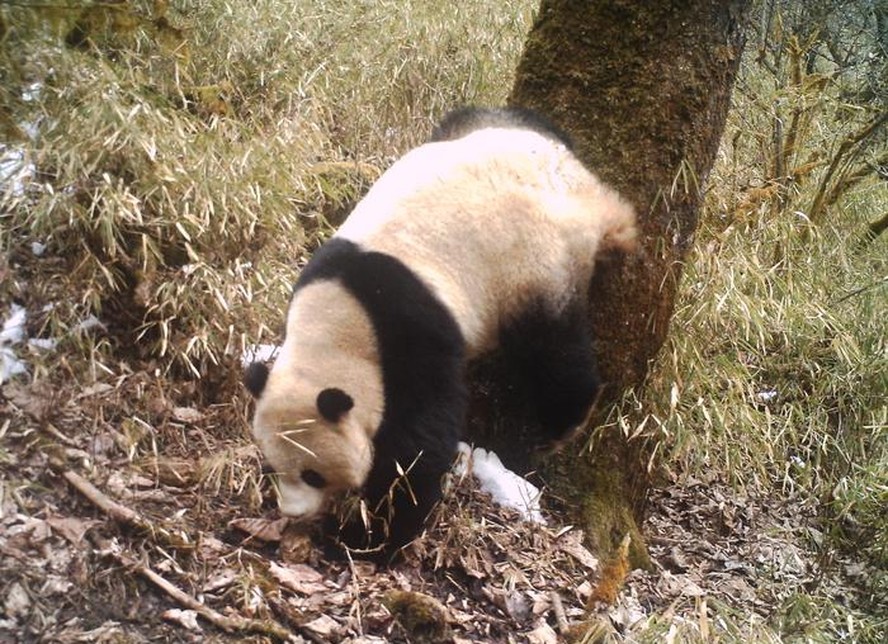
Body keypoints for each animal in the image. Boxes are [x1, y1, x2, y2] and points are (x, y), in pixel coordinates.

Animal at [244, 106, 637, 556]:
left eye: (313, 474)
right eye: (274, 466)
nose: (291, 511)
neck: (335, 325)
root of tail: (580, 189)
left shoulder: (413, 330)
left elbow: (418, 443)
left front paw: (367, 536)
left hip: (535, 263)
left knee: (552, 349)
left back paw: (560, 426)